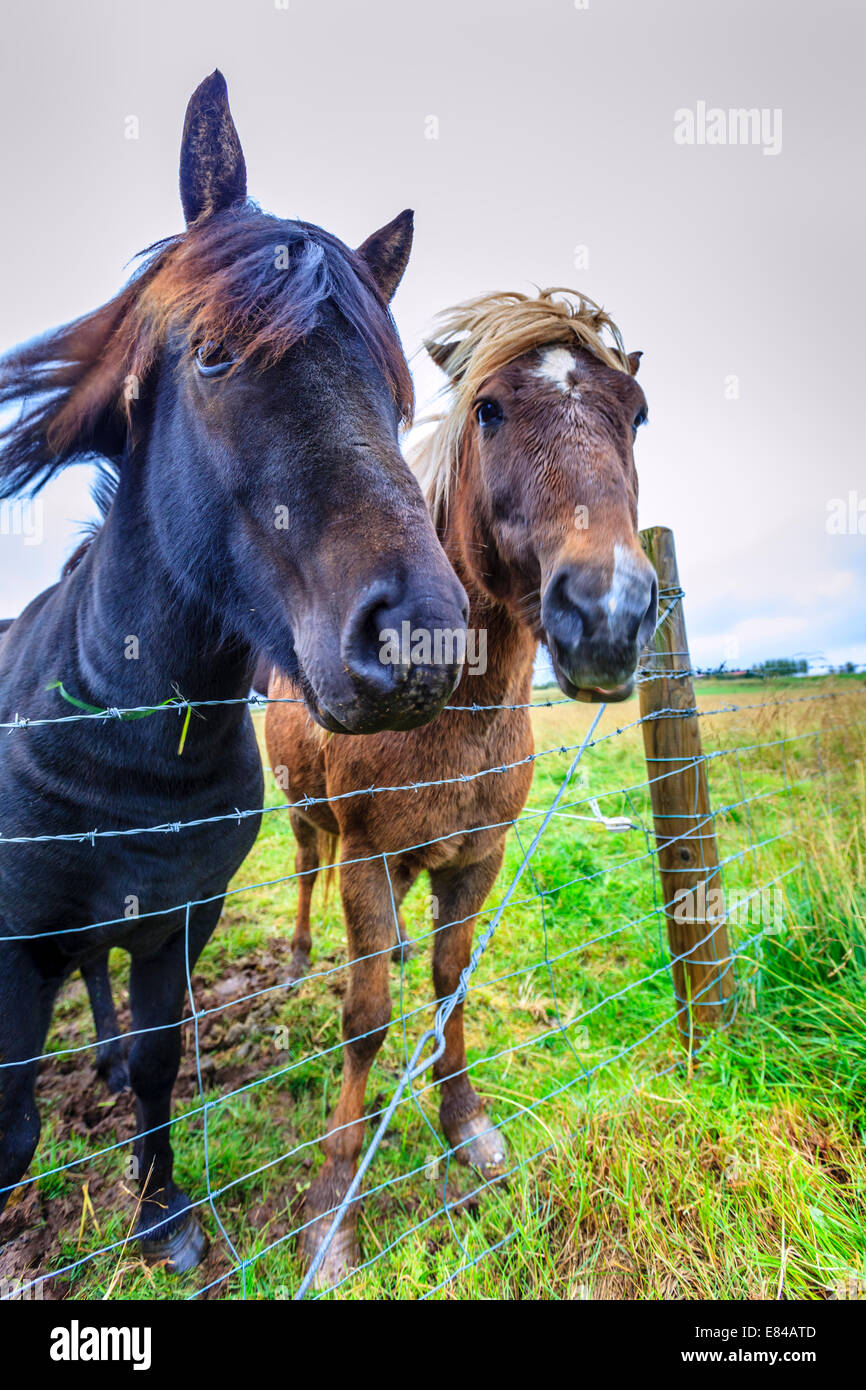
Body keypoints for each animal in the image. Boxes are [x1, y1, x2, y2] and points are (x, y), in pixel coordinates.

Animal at [0, 69, 467, 1274]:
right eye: (214, 354)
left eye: (396, 401)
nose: (423, 640)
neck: (121, 739)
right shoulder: (18, 943)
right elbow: (15, 1123)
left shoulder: (180, 916)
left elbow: (160, 1059)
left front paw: (161, 1213)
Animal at [265, 287, 658, 1283]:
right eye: (488, 410)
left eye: (637, 414)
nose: (606, 613)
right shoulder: (367, 853)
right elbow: (365, 1018)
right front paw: (332, 1213)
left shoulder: (479, 857)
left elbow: (451, 986)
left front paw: (466, 1128)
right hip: (306, 816)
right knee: (307, 874)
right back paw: (298, 957)